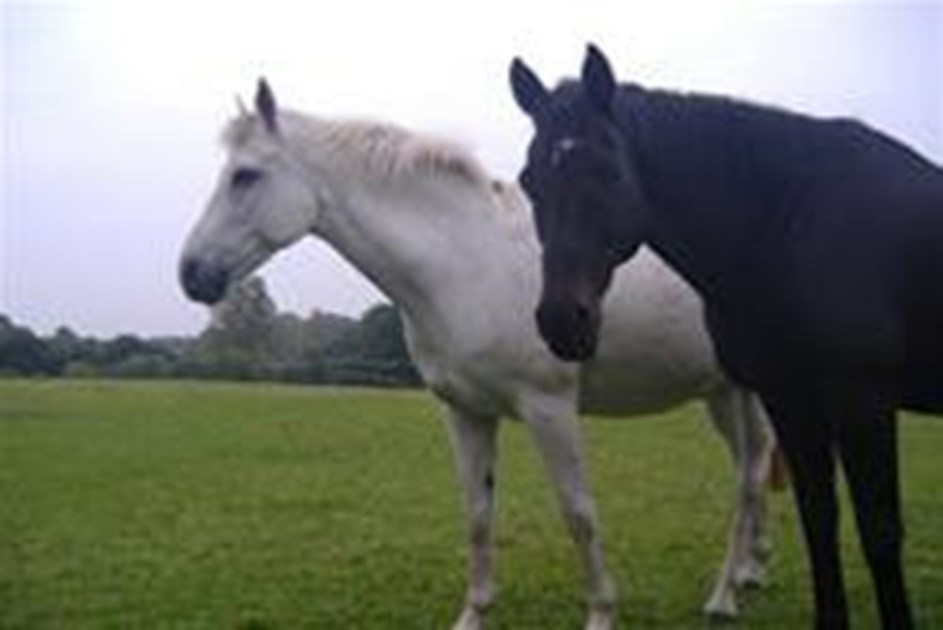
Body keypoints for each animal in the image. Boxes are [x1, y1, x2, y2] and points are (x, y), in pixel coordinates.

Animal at [179, 80, 778, 629]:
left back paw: (723, 597)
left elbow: (579, 513)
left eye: (245, 175)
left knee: (748, 478)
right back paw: (749, 572)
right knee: (749, 472)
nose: (190, 273)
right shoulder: (465, 412)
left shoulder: (549, 408)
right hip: (725, 394)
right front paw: (475, 612)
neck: (463, 262)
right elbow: (477, 515)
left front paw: (602, 612)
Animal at [509, 44, 943, 629]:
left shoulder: (862, 400)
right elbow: (819, 518)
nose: (561, 320)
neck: (793, 223)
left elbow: (879, 532)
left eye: (604, 169)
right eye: (529, 180)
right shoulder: (790, 397)